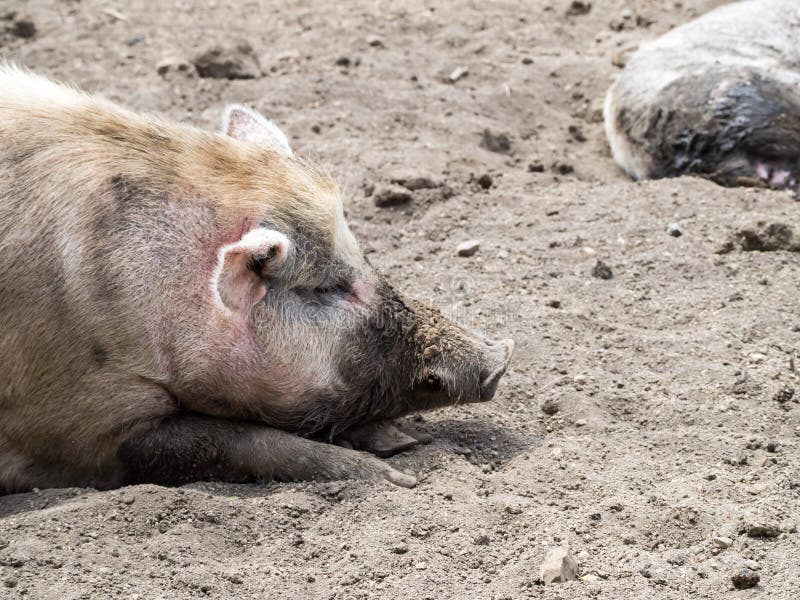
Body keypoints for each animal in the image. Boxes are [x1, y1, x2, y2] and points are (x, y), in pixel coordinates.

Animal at [0, 65, 513, 494]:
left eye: (364, 256)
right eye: (327, 288)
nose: (500, 357)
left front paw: (401, 443)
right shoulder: (80, 423)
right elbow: (233, 440)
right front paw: (395, 477)